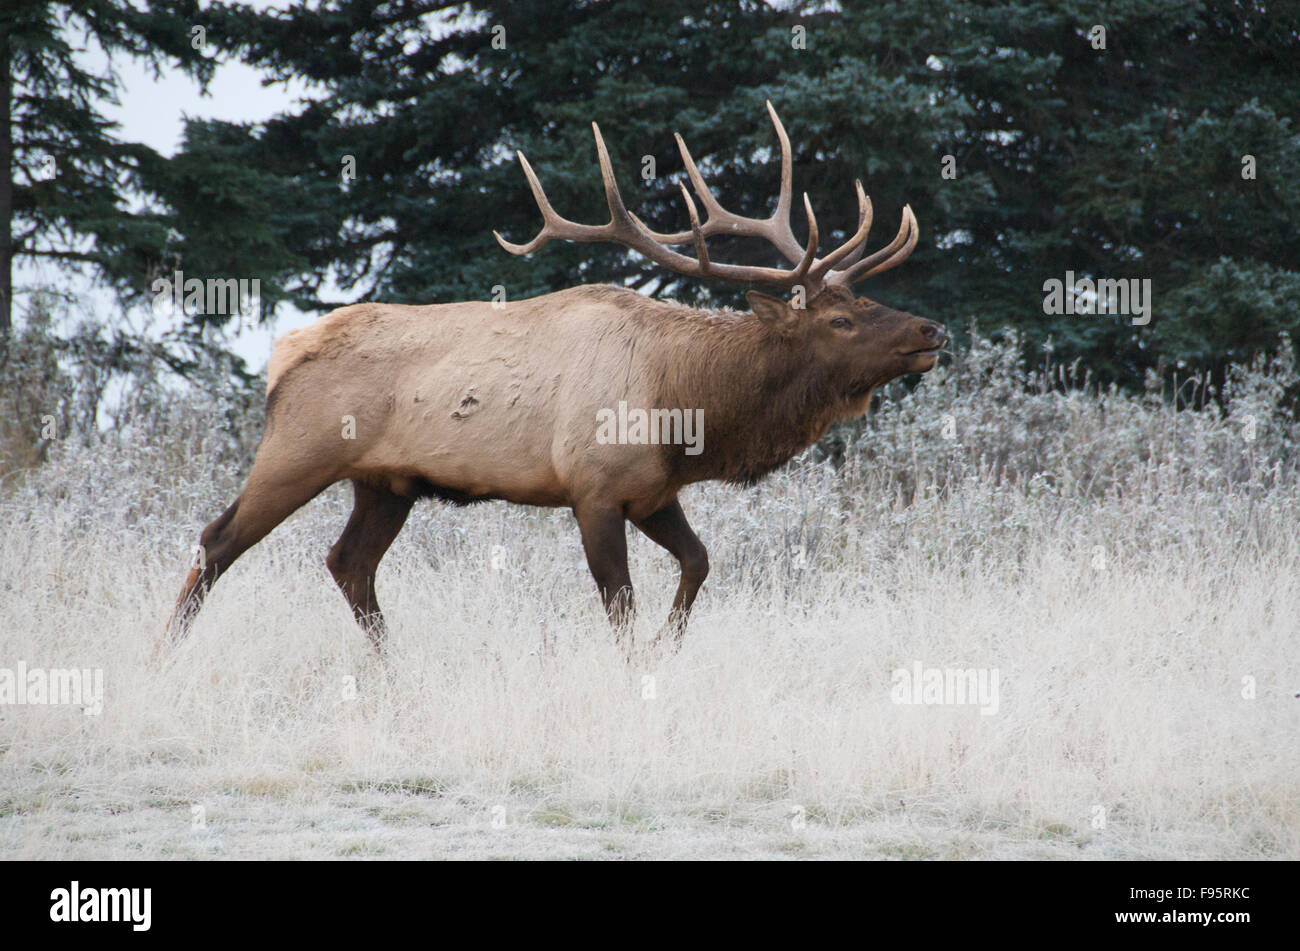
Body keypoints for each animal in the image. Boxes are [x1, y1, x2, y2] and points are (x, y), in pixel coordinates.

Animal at [164, 102, 946, 653]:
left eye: (867, 300)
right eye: (839, 320)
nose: (931, 331)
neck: (685, 412)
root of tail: (283, 353)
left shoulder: (653, 491)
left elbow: (698, 564)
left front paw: (666, 647)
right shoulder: (592, 487)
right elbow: (621, 605)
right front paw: (638, 665)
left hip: (385, 481)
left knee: (348, 562)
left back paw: (393, 665)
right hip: (299, 450)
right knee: (216, 538)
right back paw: (164, 653)